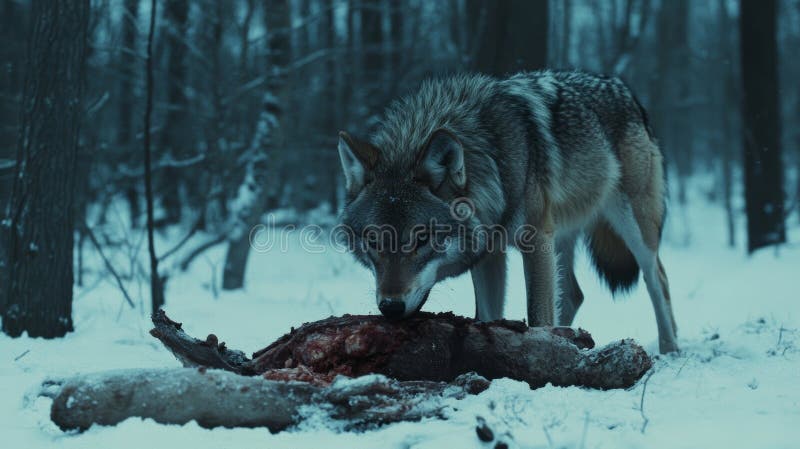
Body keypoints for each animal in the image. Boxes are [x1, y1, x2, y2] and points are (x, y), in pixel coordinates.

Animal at [336, 70, 678, 353]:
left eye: (421, 239)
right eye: (374, 241)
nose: (390, 307)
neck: (492, 156)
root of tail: (624, 88)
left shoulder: (536, 240)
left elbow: (538, 315)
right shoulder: (490, 252)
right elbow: (486, 317)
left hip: (632, 226)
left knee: (658, 278)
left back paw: (669, 349)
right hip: (562, 236)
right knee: (573, 294)